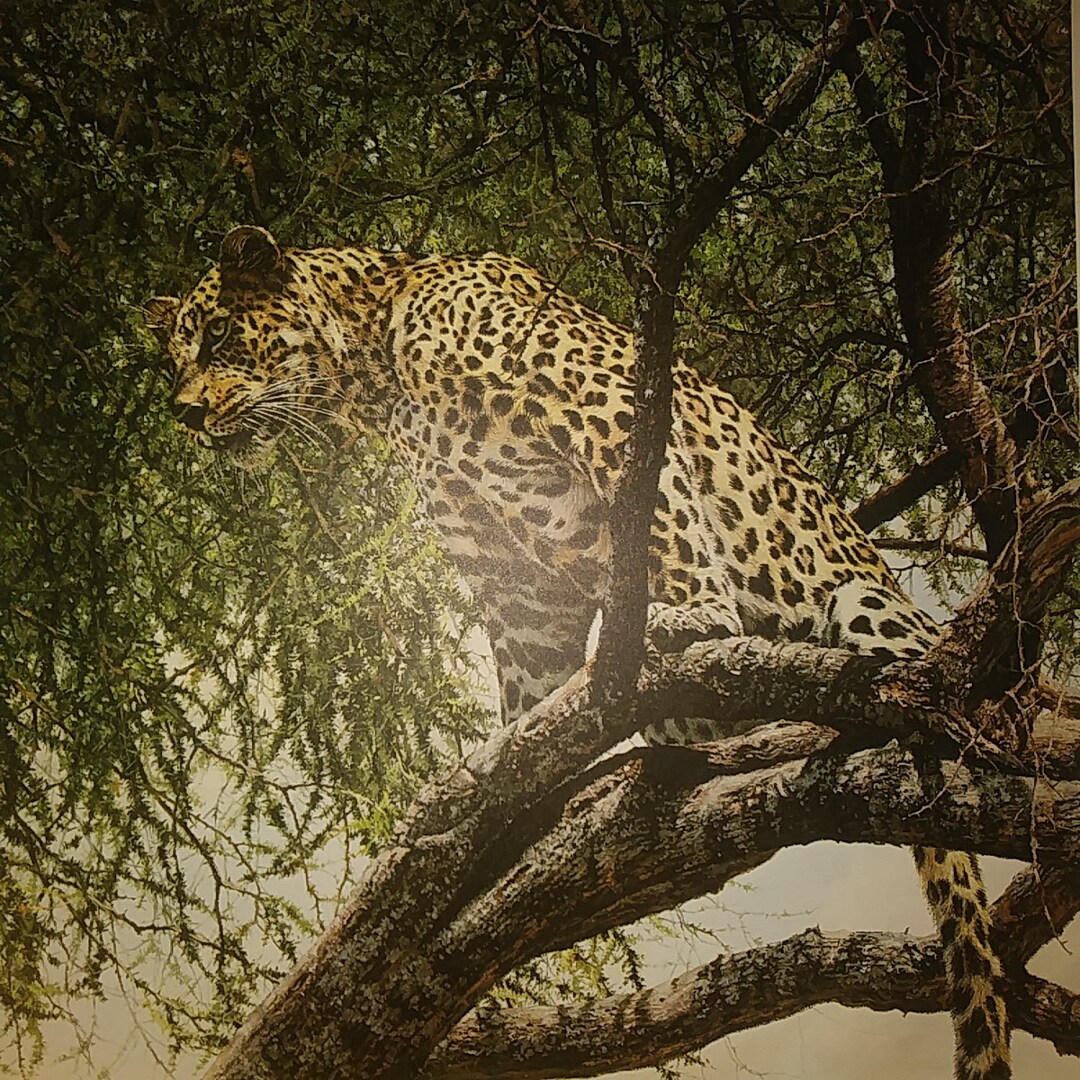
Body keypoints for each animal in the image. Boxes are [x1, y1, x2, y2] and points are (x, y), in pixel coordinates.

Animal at [146, 225, 1010, 1080]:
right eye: (175, 358)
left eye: (217, 334)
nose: (182, 414)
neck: (378, 371)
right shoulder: (507, 573)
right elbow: (530, 688)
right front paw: (504, 790)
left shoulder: (608, 407)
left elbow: (666, 520)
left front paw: (697, 615)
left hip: (874, 612)